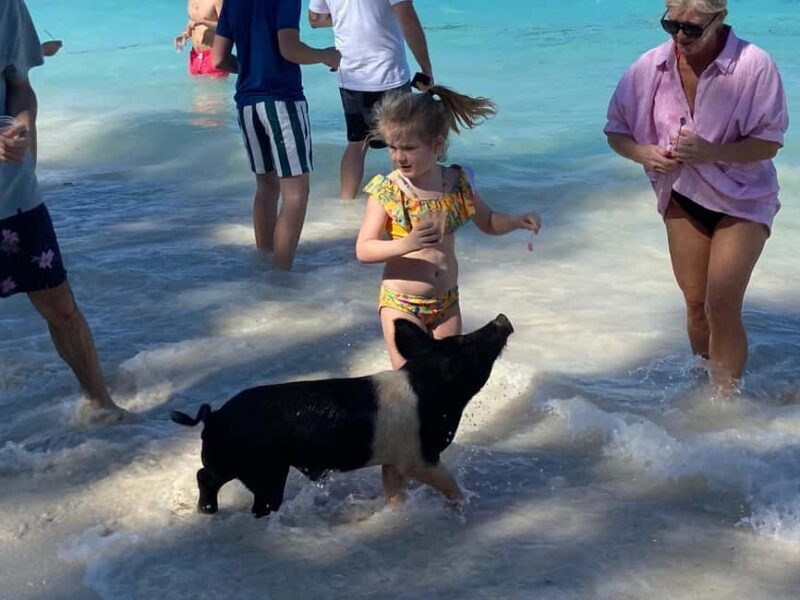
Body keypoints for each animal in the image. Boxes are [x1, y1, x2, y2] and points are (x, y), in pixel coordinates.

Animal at [170, 314, 513, 518]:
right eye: (468, 347)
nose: (501, 319)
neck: (427, 389)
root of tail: (214, 416)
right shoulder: (417, 456)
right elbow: (449, 484)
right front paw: (464, 505)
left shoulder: (392, 460)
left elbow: (393, 490)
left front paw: (393, 511)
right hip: (265, 470)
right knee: (252, 498)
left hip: (230, 460)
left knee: (205, 475)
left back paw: (207, 510)